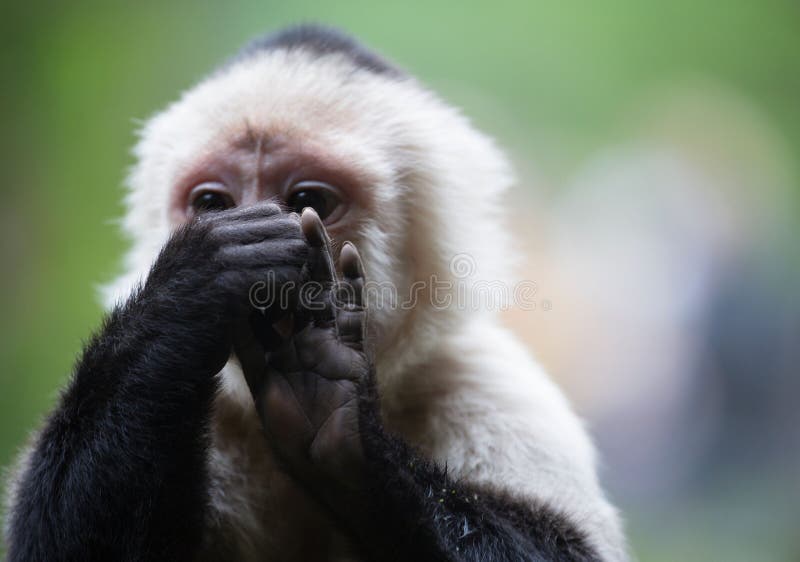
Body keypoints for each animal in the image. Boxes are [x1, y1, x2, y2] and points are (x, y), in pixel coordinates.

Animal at [3, 25, 627, 561]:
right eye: (212, 203)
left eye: (309, 200)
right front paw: (196, 284)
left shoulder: (476, 379)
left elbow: (562, 548)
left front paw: (326, 406)